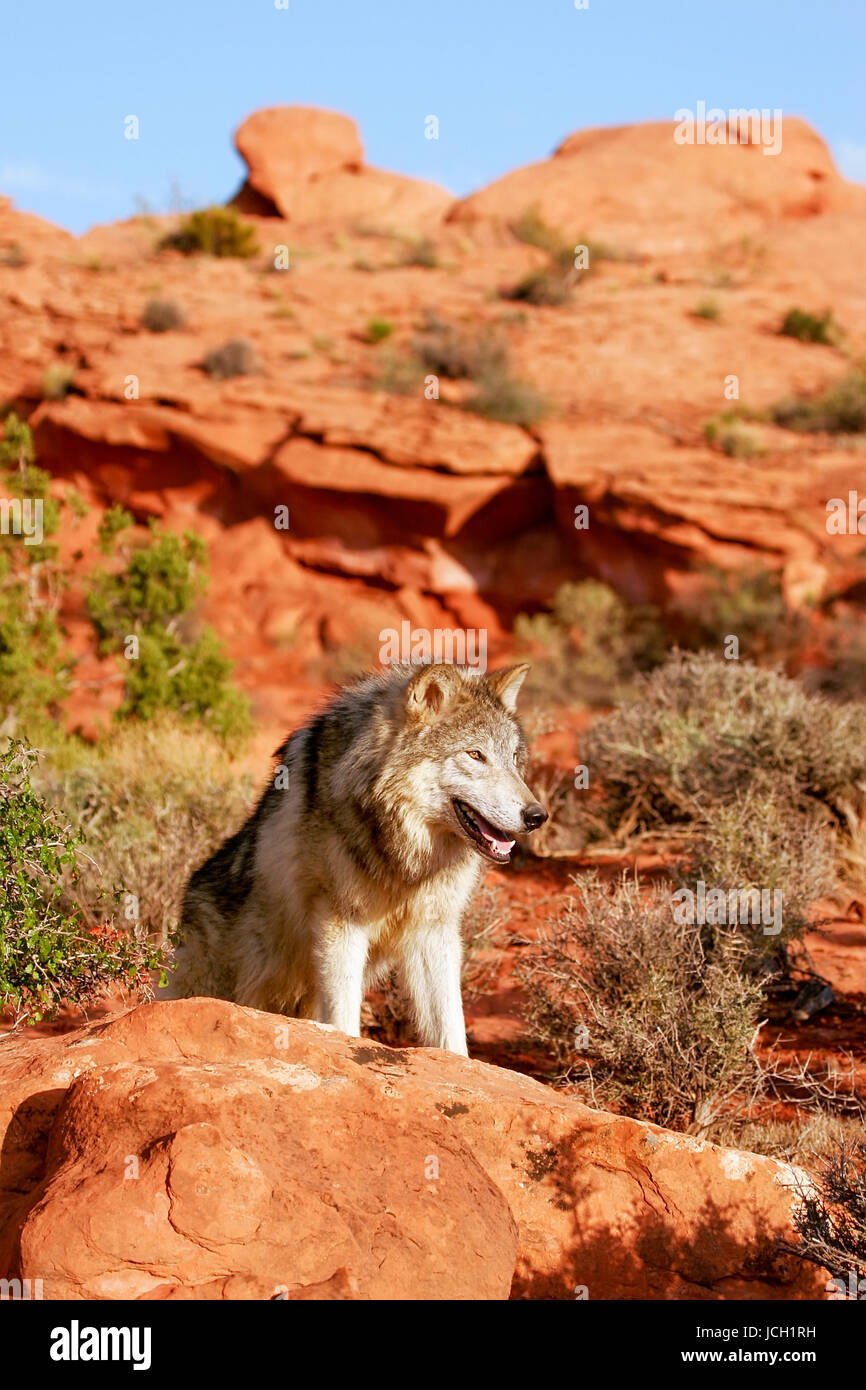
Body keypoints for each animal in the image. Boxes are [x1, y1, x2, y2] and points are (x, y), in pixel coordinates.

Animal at [165, 661, 547, 1054]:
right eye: (475, 755)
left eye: (513, 760)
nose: (537, 816)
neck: (404, 857)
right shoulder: (340, 923)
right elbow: (345, 1021)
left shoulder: (434, 931)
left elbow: (451, 1029)